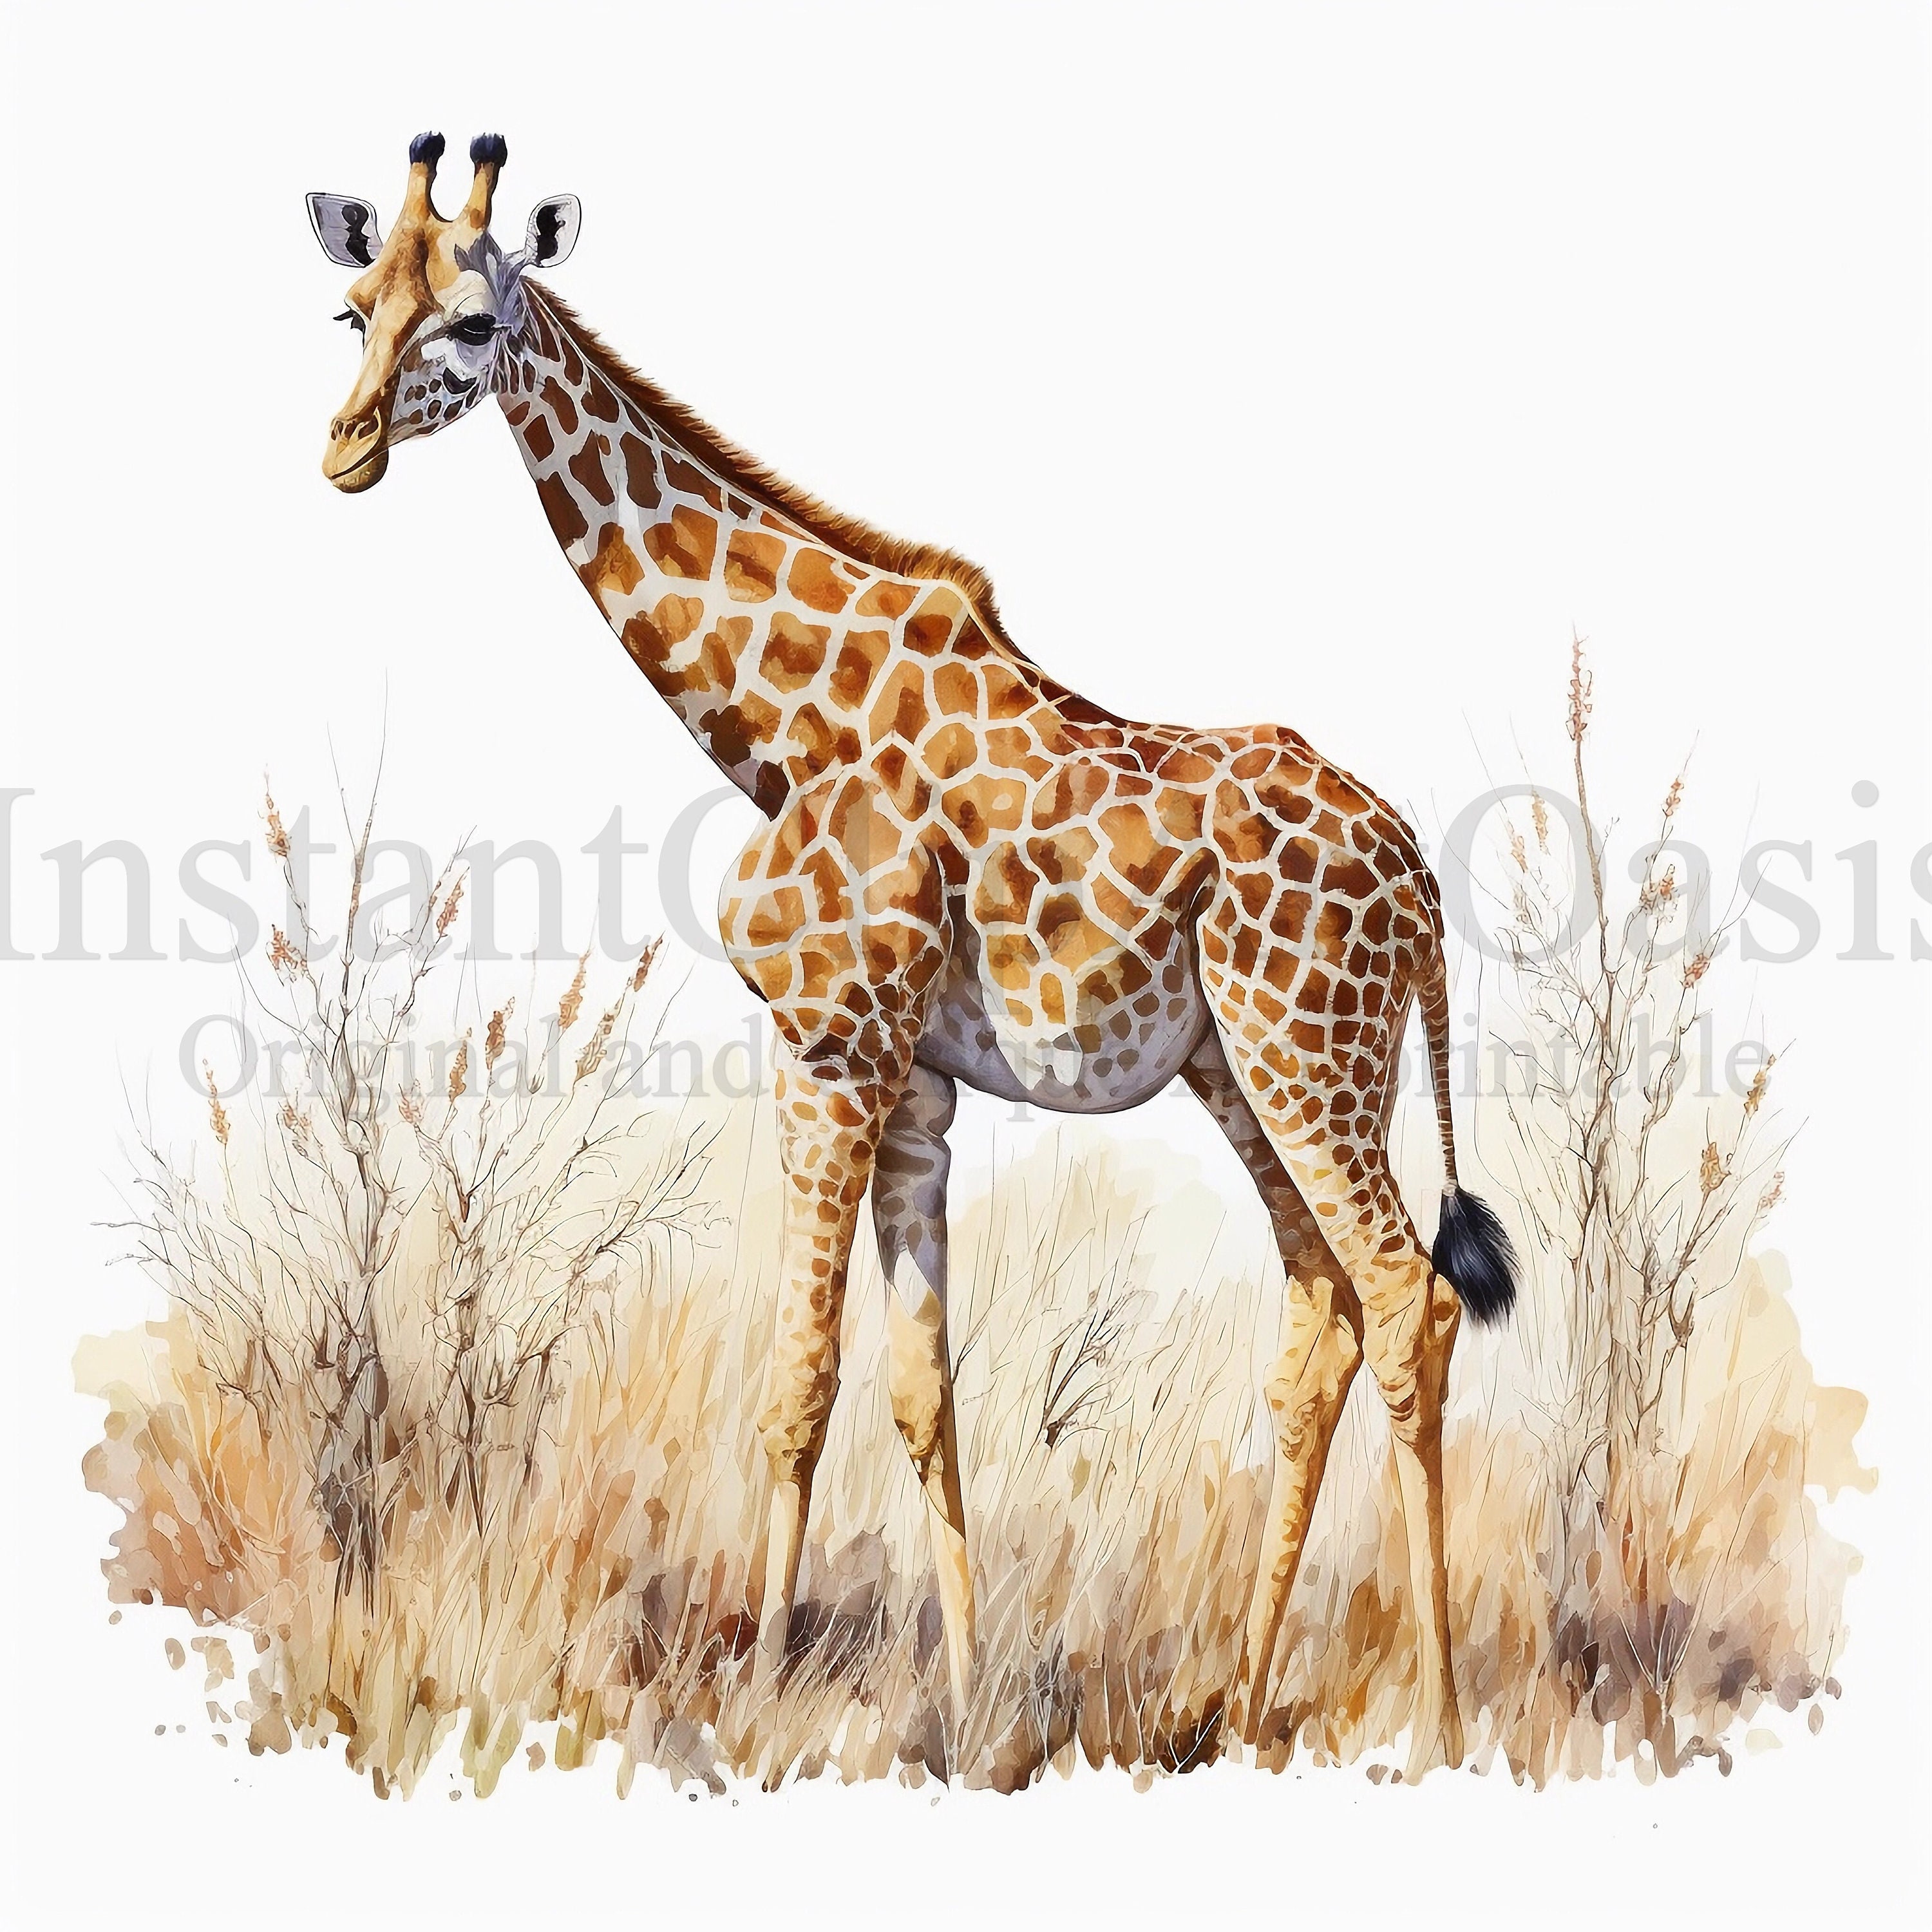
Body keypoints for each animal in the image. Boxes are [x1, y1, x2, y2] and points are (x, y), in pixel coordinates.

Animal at [308, 135, 1519, 1777]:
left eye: (474, 322)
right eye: (353, 306)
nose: (346, 448)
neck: (777, 724)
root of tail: (1420, 888)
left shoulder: (827, 1042)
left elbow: (801, 1384)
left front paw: (757, 1693)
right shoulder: (919, 1088)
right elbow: (920, 1391)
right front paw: (966, 1689)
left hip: (1301, 1054)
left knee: (1406, 1299)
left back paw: (1442, 1716)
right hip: (1249, 1067)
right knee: (1321, 1315)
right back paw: (1236, 1702)